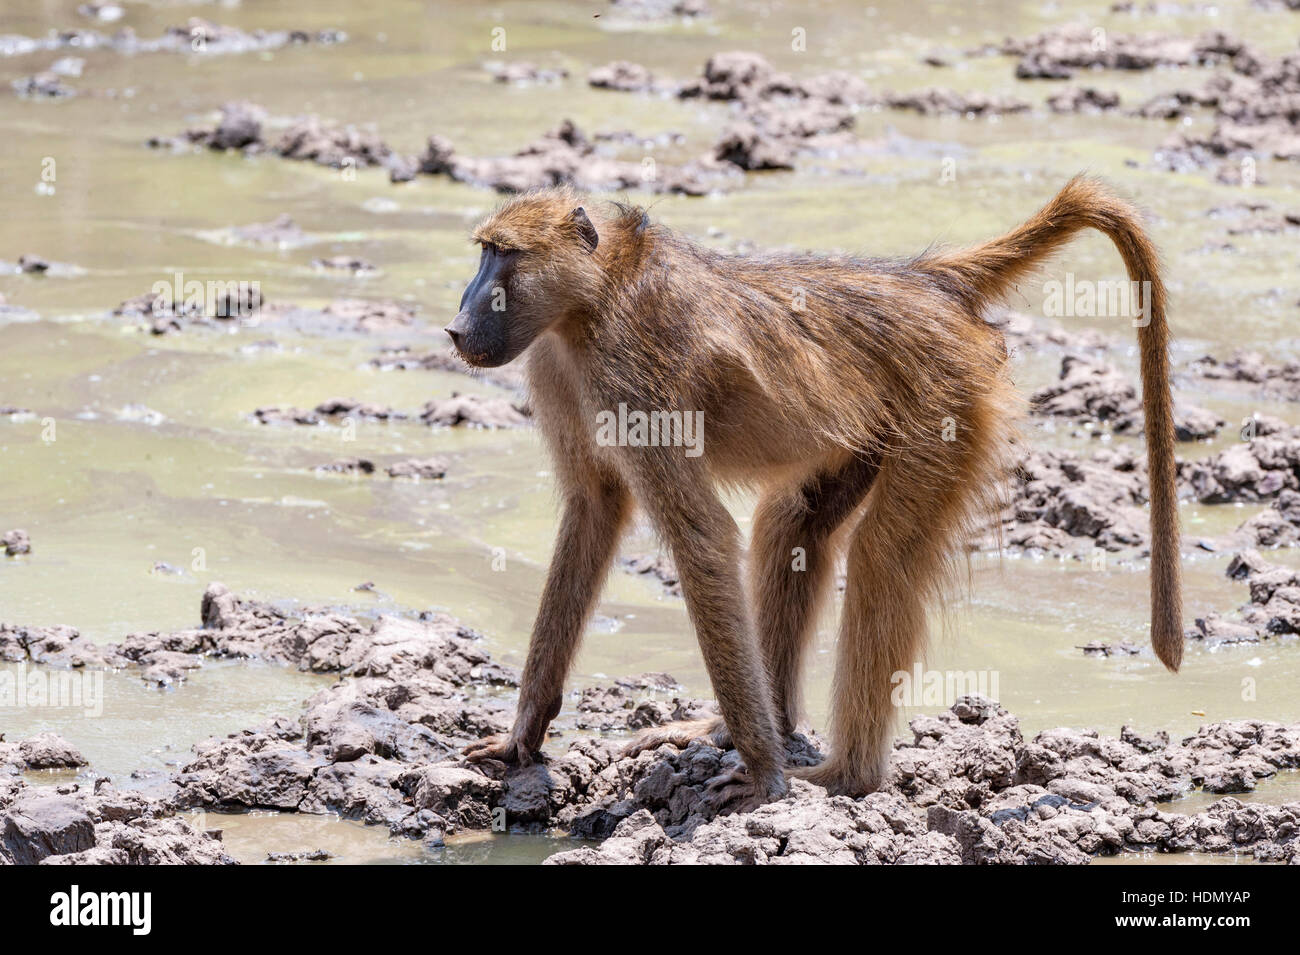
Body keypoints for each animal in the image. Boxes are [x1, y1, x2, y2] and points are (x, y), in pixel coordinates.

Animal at [455, 177, 1181, 810]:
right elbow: (594, 507)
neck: (595, 292)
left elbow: (700, 538)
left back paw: (841, 776)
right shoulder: (554, 361)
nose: (458, 329)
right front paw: (522, 738)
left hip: (948, 401)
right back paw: (748, 728)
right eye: (484, 250)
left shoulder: (628, 367)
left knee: (882, 557)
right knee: (795, 526)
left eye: (503, 255)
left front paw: (763, 776)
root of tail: (929, 281)